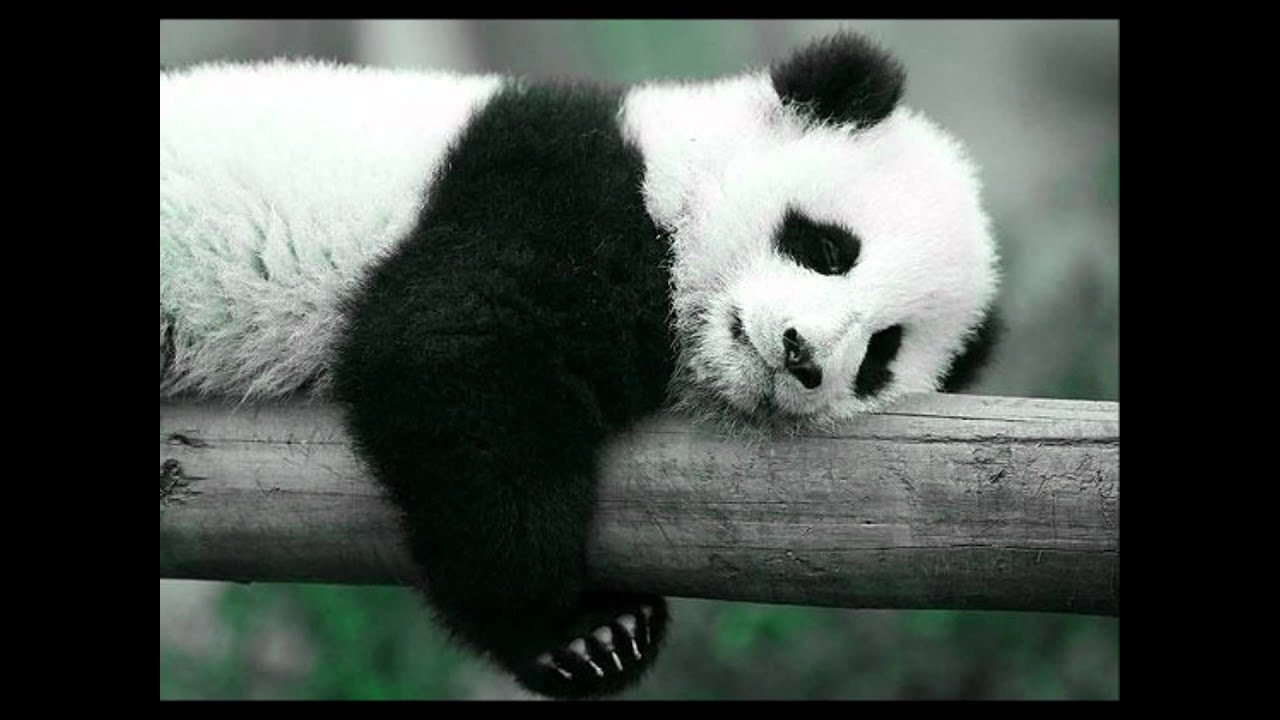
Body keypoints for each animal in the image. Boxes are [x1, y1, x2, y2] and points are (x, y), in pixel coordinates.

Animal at [159, 32, 1000, 699]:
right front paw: (581, 632)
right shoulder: (552, 190)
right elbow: (451, 352)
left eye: (883, 351)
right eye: (827, 246)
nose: (802, 357)